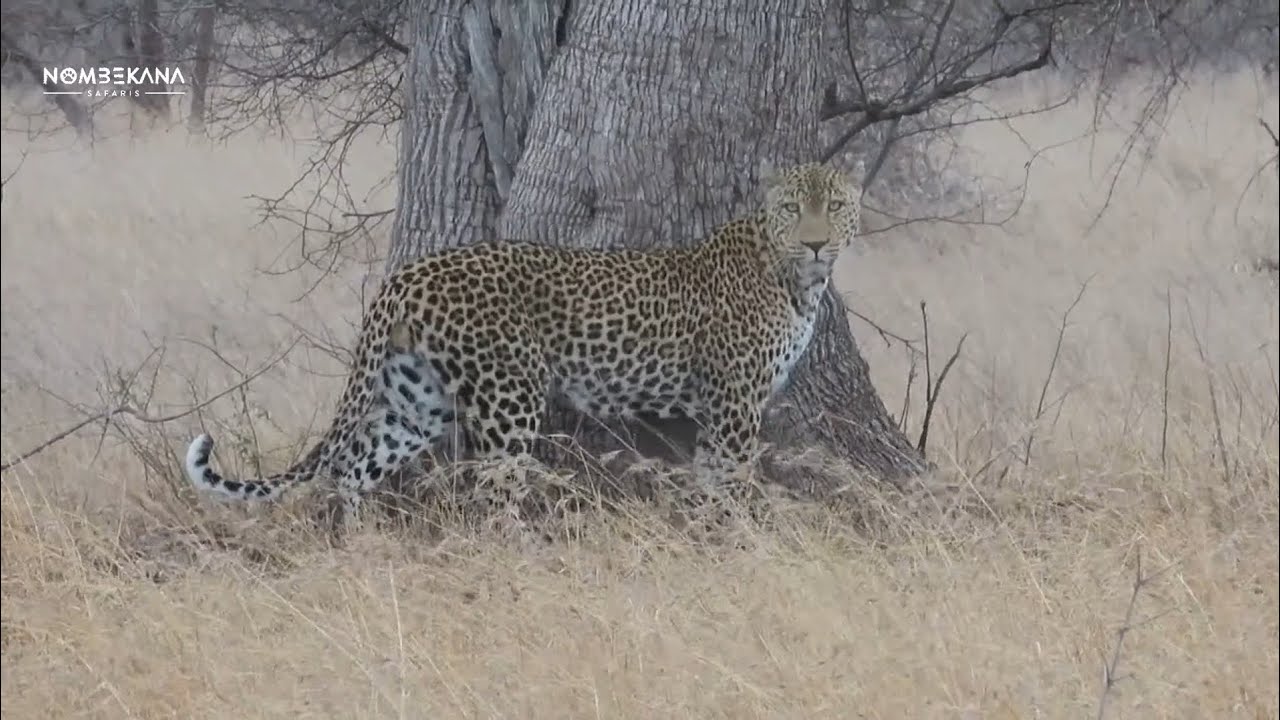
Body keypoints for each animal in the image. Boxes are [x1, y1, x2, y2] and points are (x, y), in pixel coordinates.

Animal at [183, 160, 864, 530]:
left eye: (833, 204)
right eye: (790, 207)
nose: (816, 243)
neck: (795, 279)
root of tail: (409, 273)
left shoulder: (723, 411)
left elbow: (710, 481)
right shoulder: (734, 406)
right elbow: (734, 483)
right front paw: (740, 544)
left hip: (418, 402)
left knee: (352, 470)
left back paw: (361, 550)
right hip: (508, 399)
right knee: (491, 496)